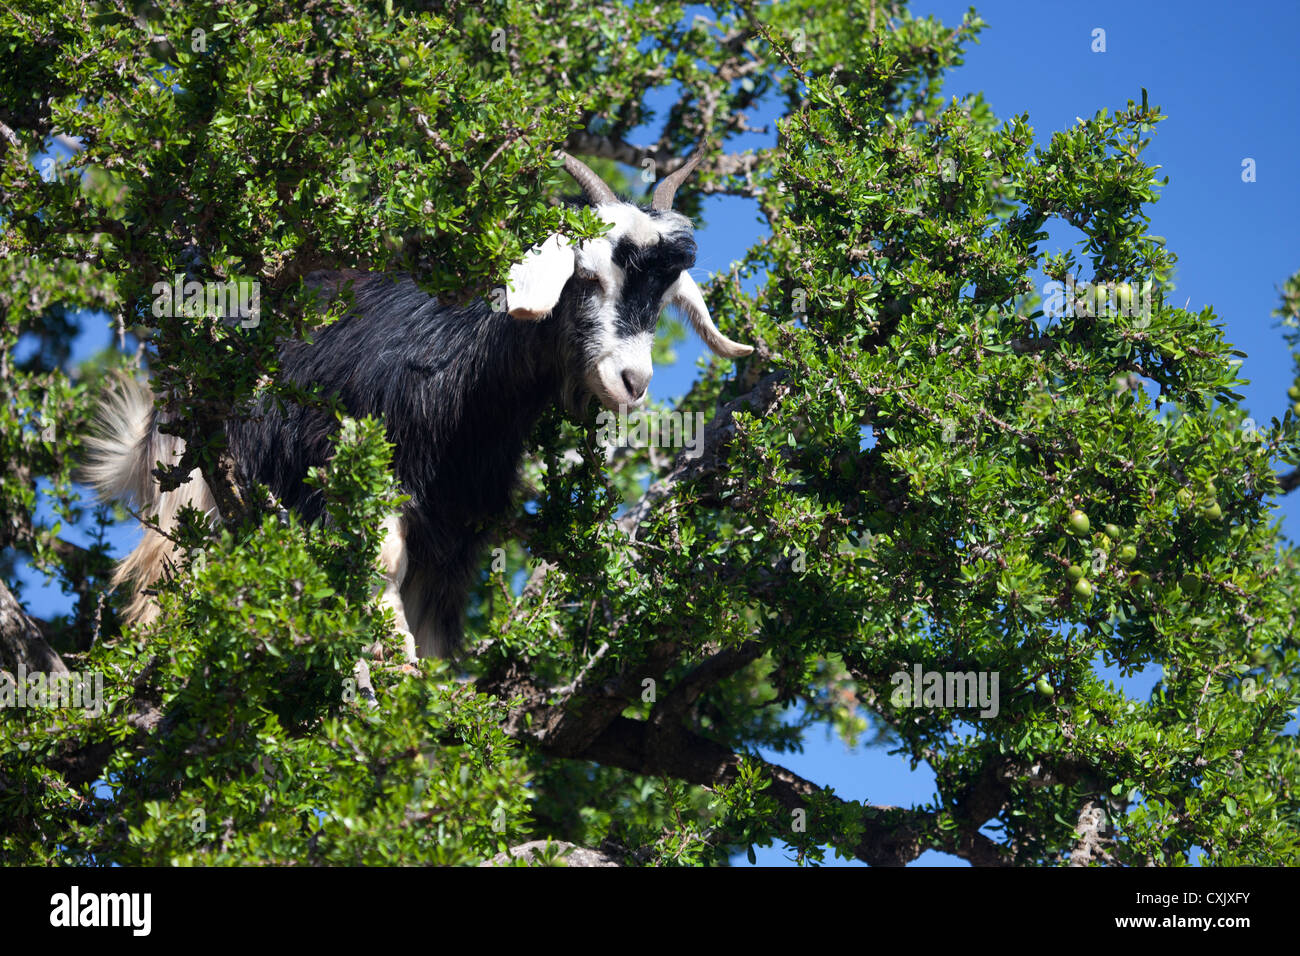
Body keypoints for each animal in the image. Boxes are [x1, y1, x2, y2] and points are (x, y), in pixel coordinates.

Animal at [84, 150, 752, 660]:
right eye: (586, 277)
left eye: (662, 299)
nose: (632, 381)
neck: (465, 372)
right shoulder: (366, 465)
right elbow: (385, 562)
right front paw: (394, 655)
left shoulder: (458, 522)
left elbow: (439, 611)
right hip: (195, 483)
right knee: (164, 574)